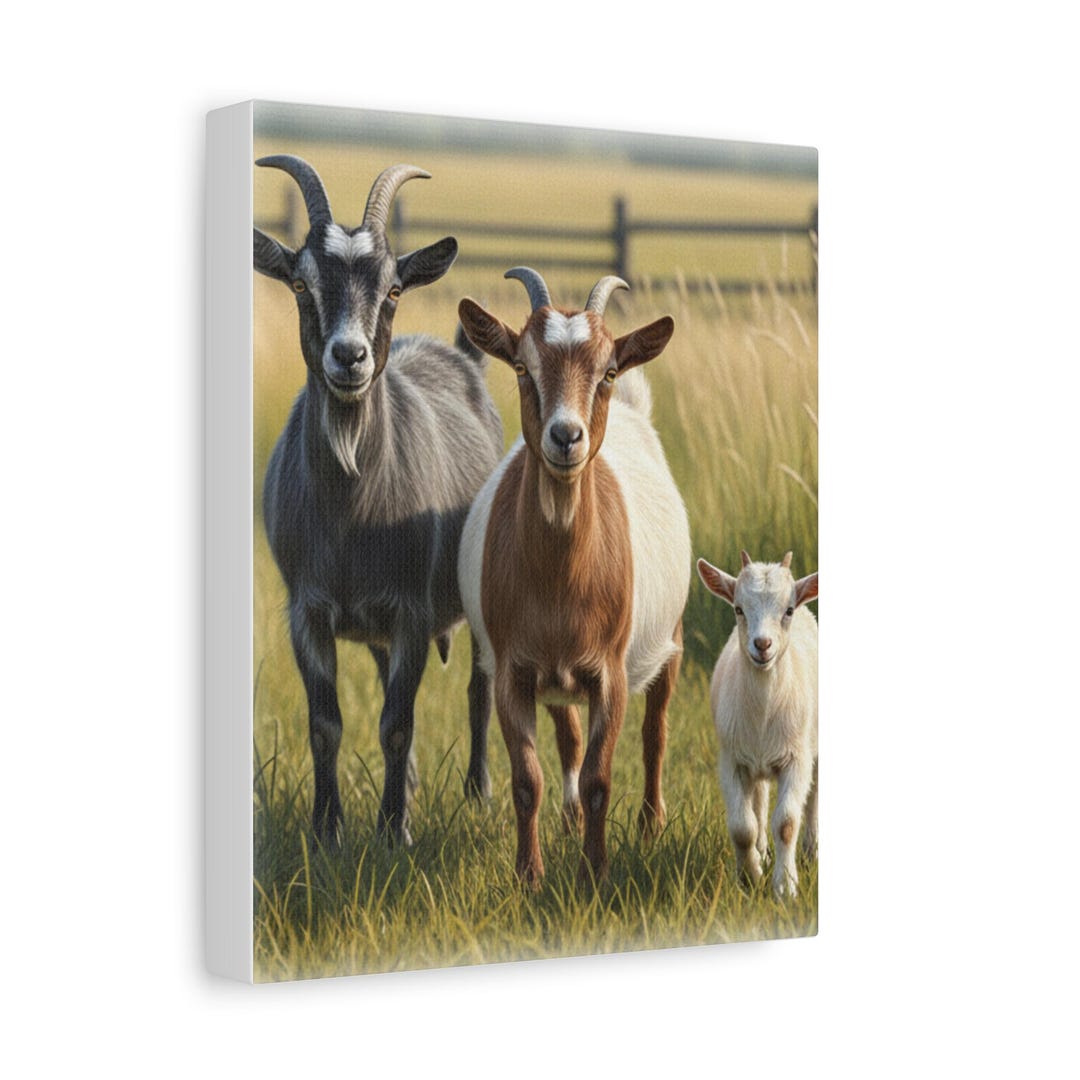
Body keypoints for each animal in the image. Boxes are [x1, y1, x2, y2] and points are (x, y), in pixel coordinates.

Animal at [254, 155, 503, 846]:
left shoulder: (411, 609)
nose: (350, 356)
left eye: (393, 289)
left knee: (479, 690)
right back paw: (413, 787)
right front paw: (327, 830)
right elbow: (325, 724)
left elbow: (396, 722)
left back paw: (477, 793)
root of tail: (460, 354)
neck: (350, 515)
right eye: (301, 285)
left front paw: (395, 833)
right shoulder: (307, 610)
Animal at [457, 268, 691, 886]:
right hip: (553, 675)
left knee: (656, 731)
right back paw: (567, 821)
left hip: (672, 636)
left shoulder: (609, 672)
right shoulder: (513, 669)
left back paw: (651, 824)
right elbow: (527, 780)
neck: (561, 583)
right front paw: (530, 876)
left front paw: (595, 874)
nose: (566, 436)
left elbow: (600, 778)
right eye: (521, 366)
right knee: (568, 735)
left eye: (606, 371)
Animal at [697, 551, 818, 896]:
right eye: (738, 608)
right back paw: (762, 853)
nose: (762, 645)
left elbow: (787, 823)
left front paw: (785, 887)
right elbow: (742, 827)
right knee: (760, 803)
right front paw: (750, 877)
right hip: (755, 763)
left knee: (813, 800)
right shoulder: (732, 760)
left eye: (787, 610)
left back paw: (811, 852)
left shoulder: (796, 759)